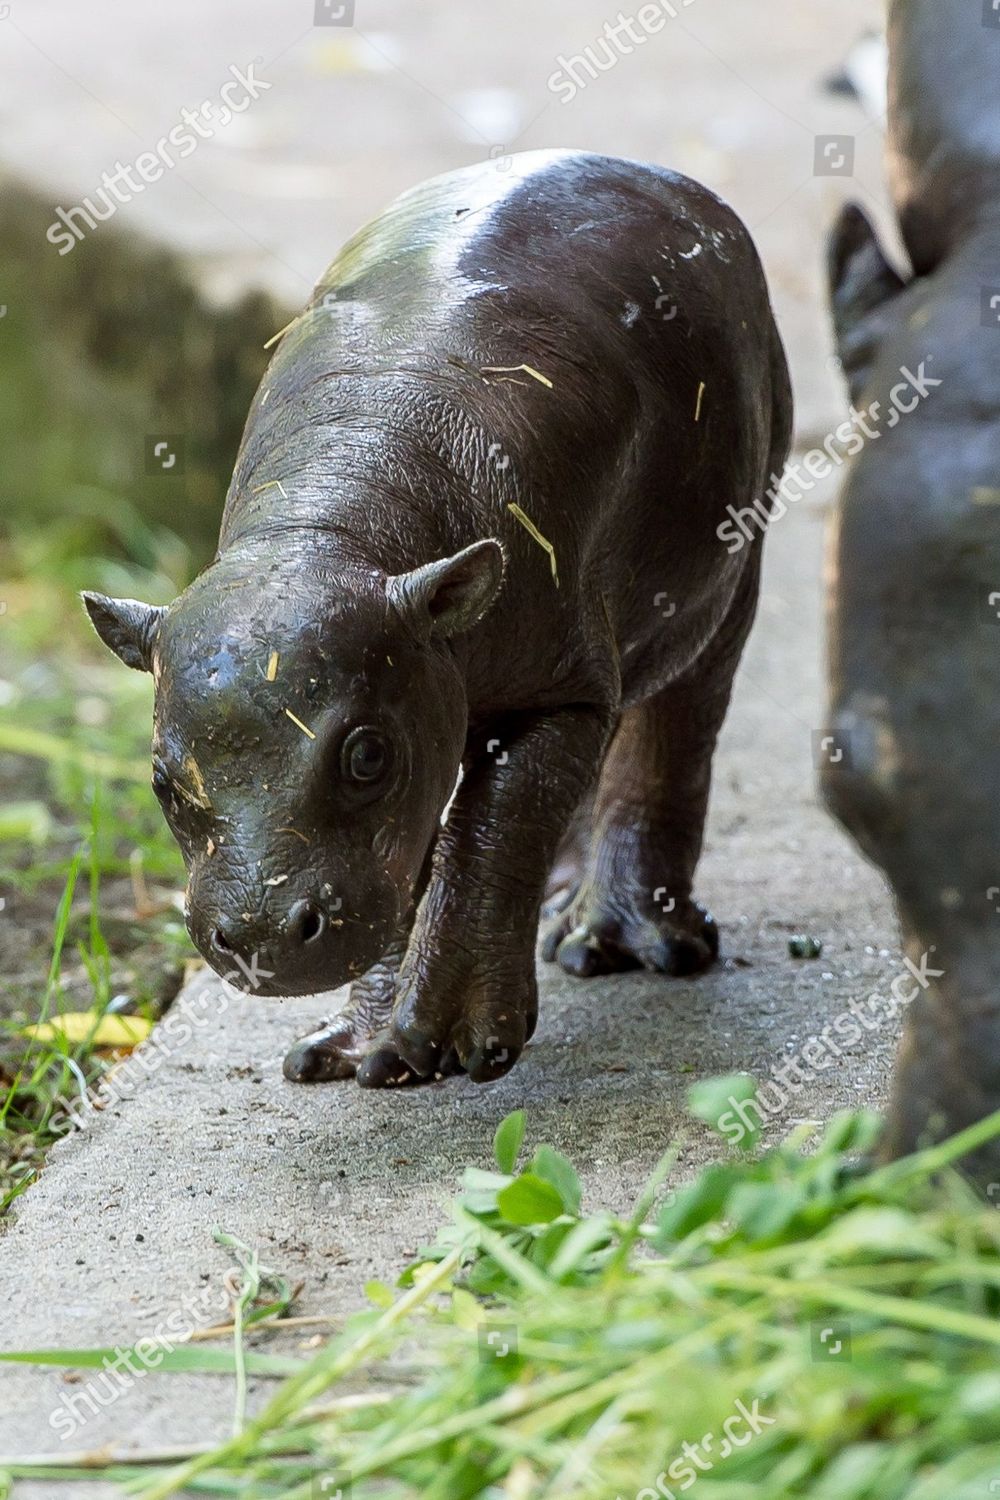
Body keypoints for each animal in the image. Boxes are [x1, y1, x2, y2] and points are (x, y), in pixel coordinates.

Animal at [84, 150, 792, 1089]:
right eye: (164, 780)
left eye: (365, 755)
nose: (266, 936)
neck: (336, 538)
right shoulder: (417, 681)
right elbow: (413, 859)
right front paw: (357, 1054)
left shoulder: (554, 692)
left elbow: (493, 826)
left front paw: (460, 1045)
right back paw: (563, 912)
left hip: (735, 558)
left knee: (675, 727)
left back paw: (632, 944)